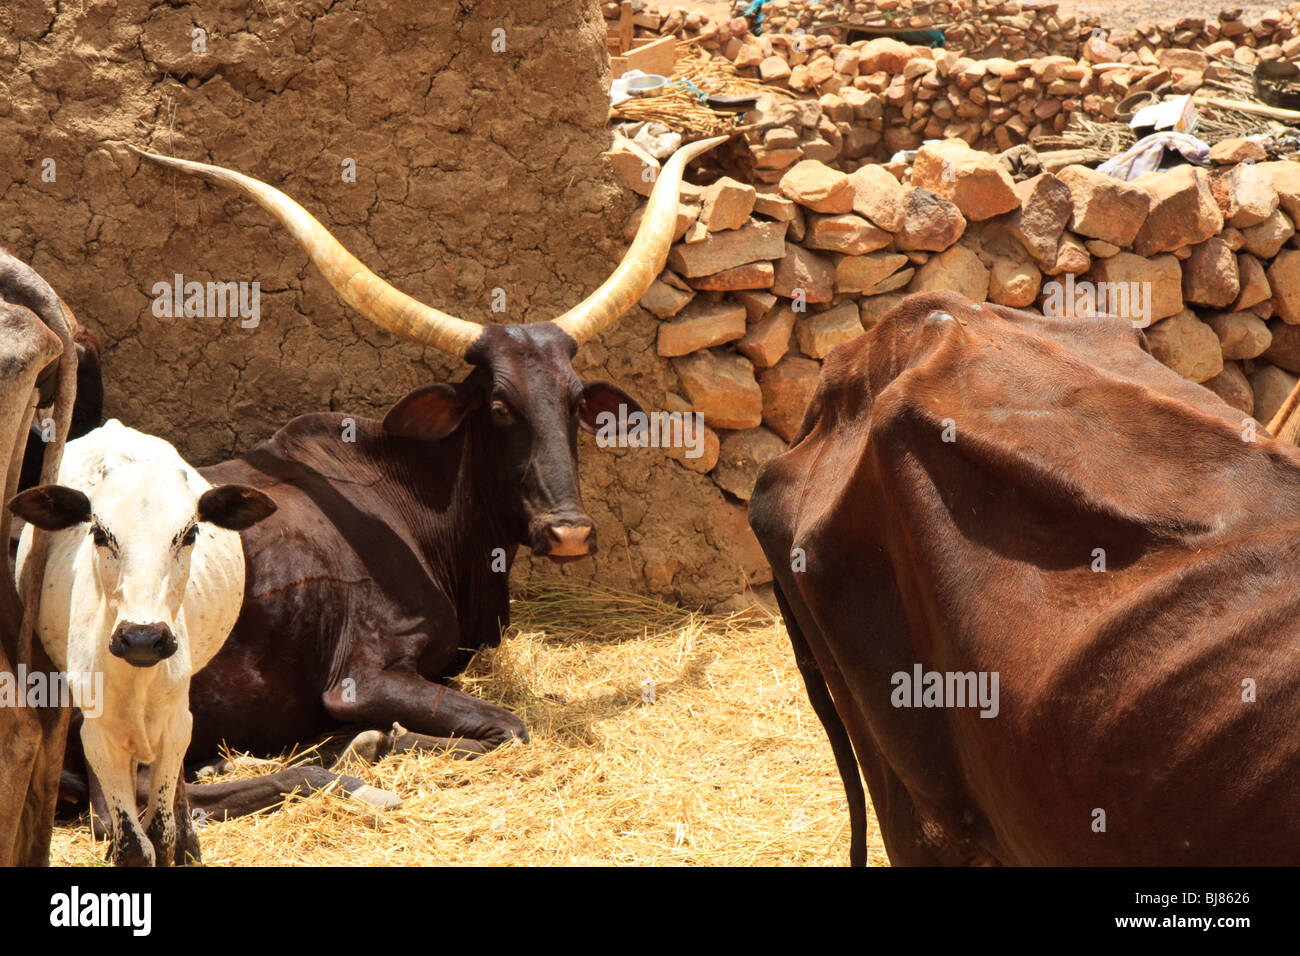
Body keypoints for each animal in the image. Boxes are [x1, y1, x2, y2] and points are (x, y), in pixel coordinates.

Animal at [10, 420, 276, 866]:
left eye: (190, 533)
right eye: (100, 533)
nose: (142, 638)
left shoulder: (175, 723)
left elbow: (160, 832)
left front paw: (179, 842)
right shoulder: (98, 735)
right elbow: (134, 845)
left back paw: (188, 841)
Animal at [56, 136, 726, 820]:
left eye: (572, 402)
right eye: (499, 405)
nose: (569, 533)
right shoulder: (363, 677)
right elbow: (509, 726)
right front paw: (370, 744)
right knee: (132, 798)